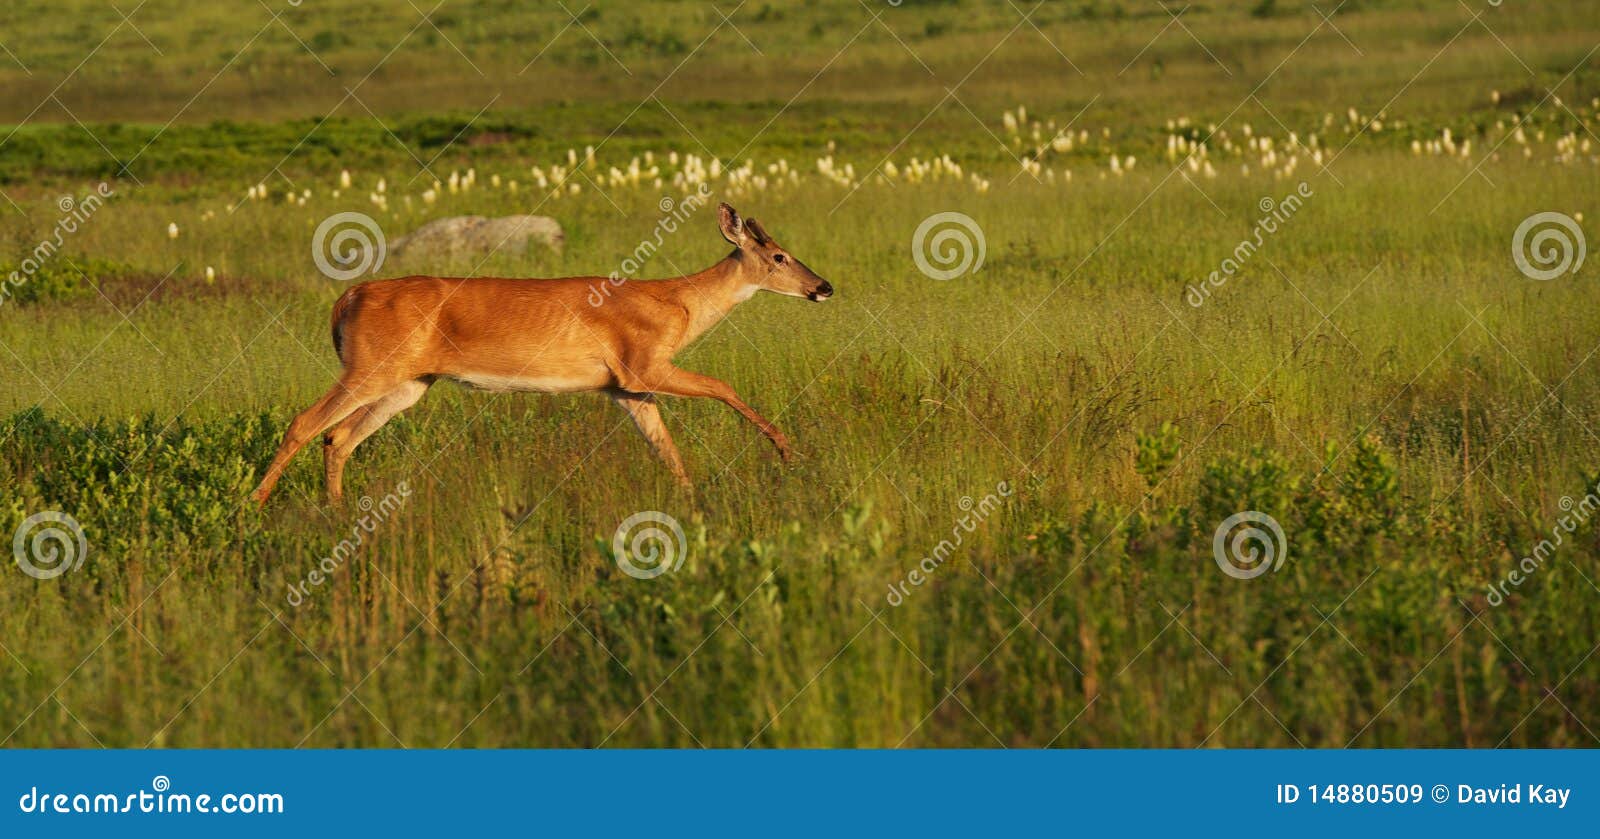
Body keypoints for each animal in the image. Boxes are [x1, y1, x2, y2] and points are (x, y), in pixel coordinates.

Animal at [249, 203, 832, 507]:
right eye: (779, 256)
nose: (823, 286)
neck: (679, 306)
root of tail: (346, 298)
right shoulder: (644, 361)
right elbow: (722, 387)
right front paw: (784, 450)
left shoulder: (625, 387)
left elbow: (664, 446)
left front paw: (692, 502)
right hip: (369, 366)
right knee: (305, 423)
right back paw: (252, 505)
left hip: (408, 382)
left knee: (339, 436)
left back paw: (336, 512)